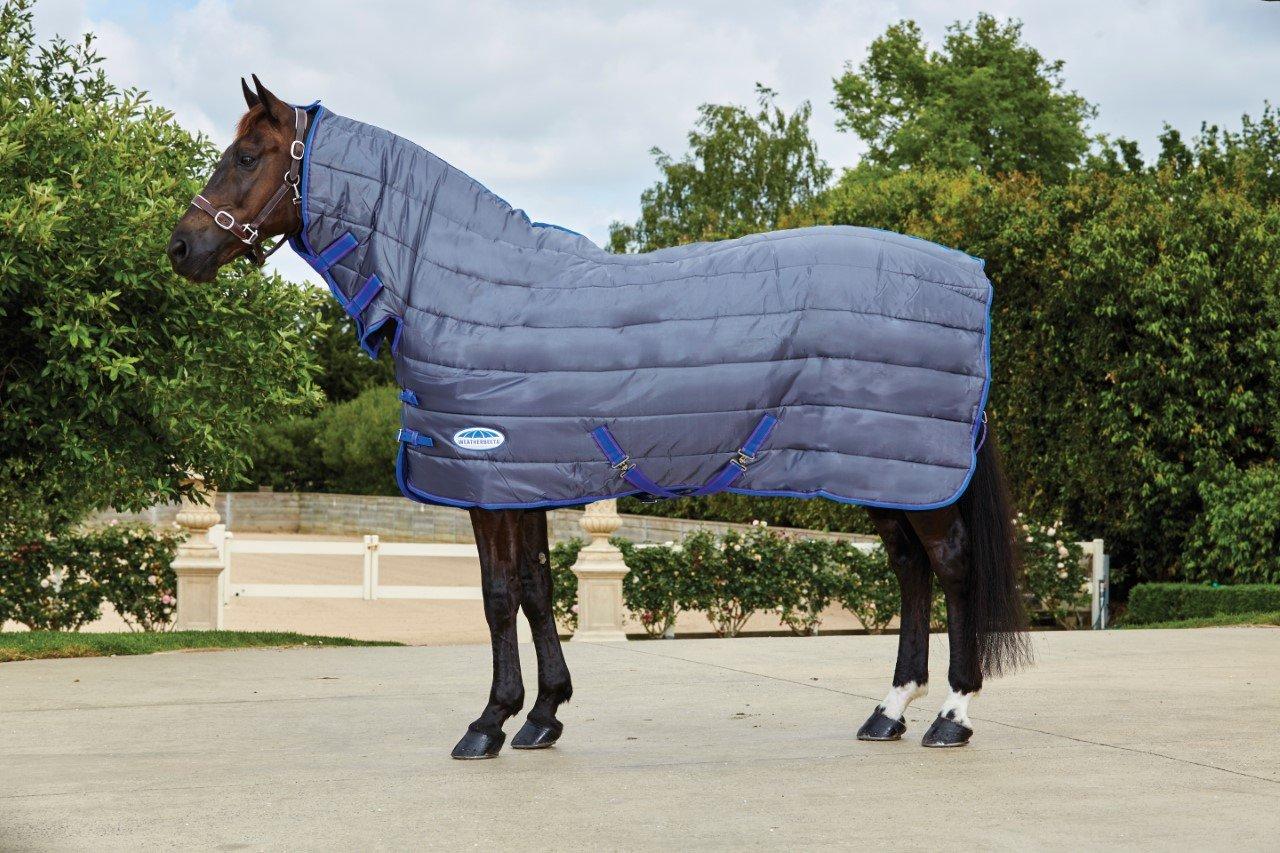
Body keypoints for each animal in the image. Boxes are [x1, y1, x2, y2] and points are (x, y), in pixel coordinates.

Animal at [168, 76, 1030, 759]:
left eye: (247, 155)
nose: (182, 247)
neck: (461, 287)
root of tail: (973, 273)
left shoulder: (488, 478)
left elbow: (498, 595)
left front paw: (488, 721)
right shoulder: (524, 477)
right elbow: (539, 590)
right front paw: (542, 714)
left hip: (909, 475)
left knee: (952, 568)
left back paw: (952, 715)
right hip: (883, 473)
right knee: (911, 571)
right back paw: (889, 710)